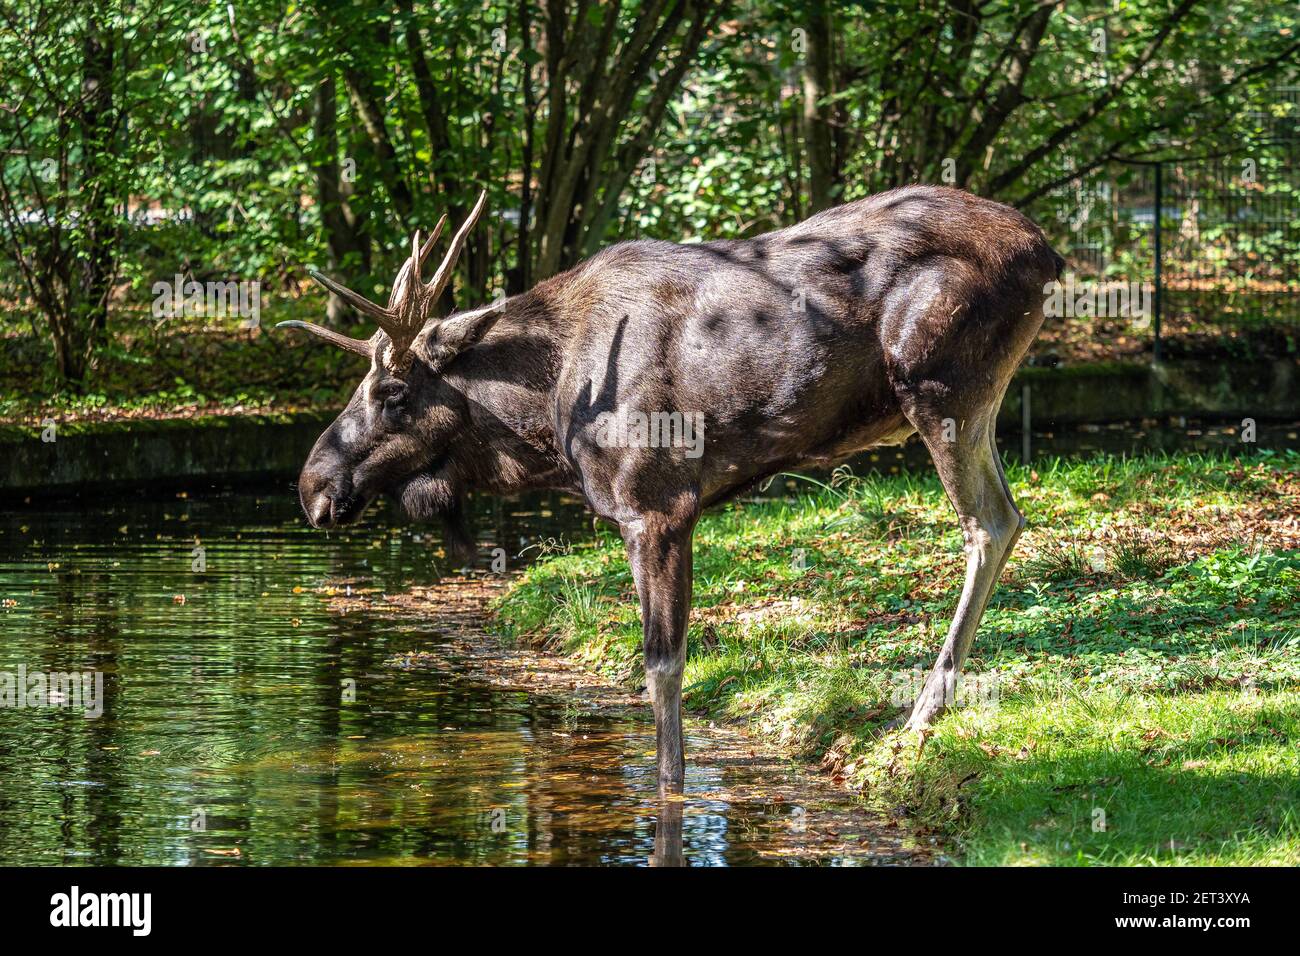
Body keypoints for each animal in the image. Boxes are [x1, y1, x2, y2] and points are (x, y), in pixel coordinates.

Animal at [280, 186, 1063, 791]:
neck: (545, 415)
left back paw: (926, 708)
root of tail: (1047, 252)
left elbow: (662, 668)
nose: (312, 487)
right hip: (972, 403)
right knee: (1013, 517)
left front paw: (670, 787)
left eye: (391, 393)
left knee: (989, 523)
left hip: (940, 389)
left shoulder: (655, 507)